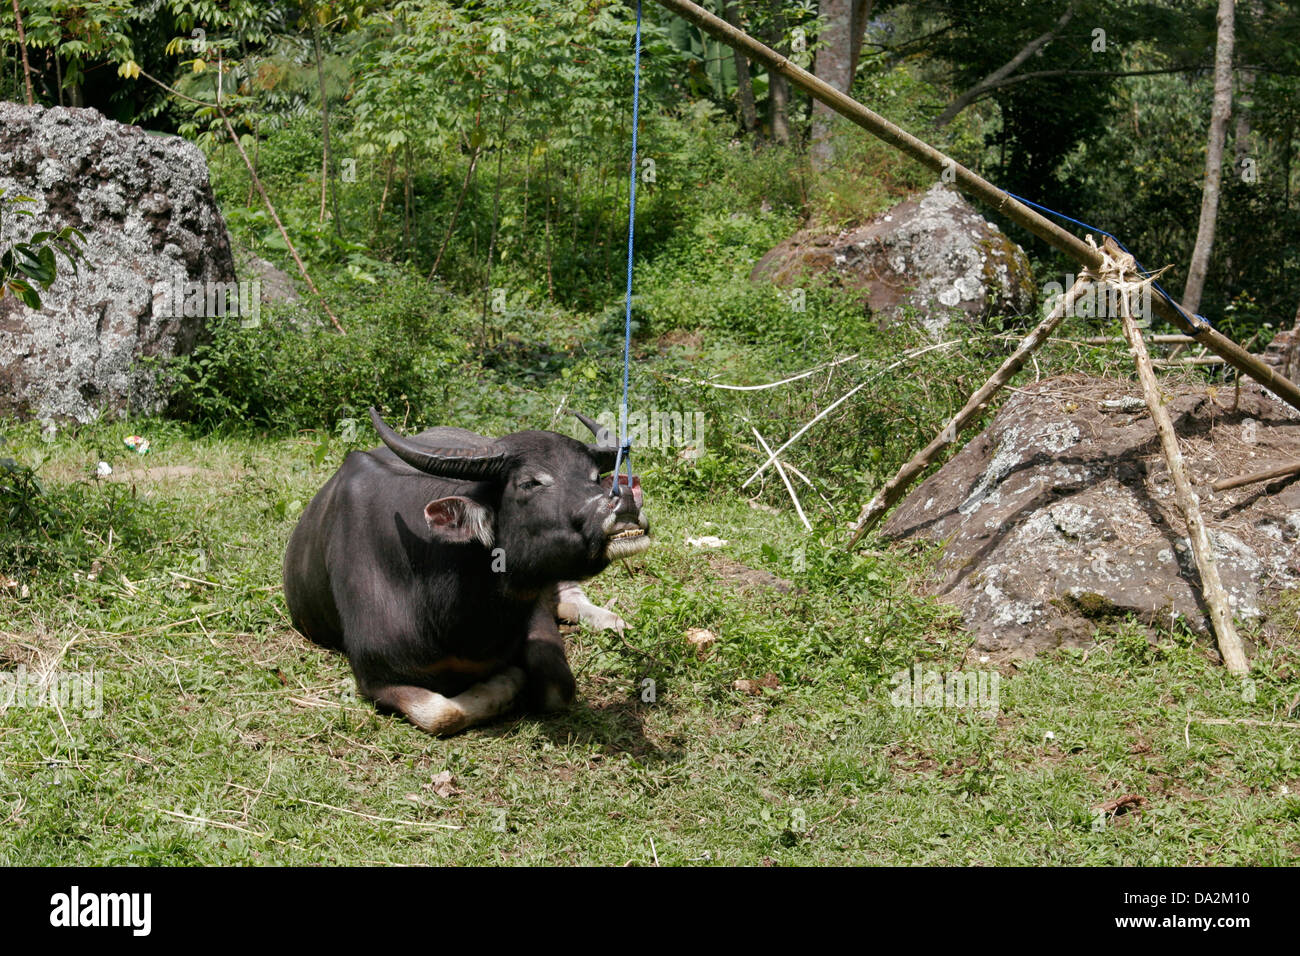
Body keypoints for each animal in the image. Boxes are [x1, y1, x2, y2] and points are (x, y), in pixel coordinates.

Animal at [283, 408, 650, 735]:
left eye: (593, 476)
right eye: (530, 482)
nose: (625, 501)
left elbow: (558, 686)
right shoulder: (375, 676)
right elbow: (441, 712)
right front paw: (509, 682)